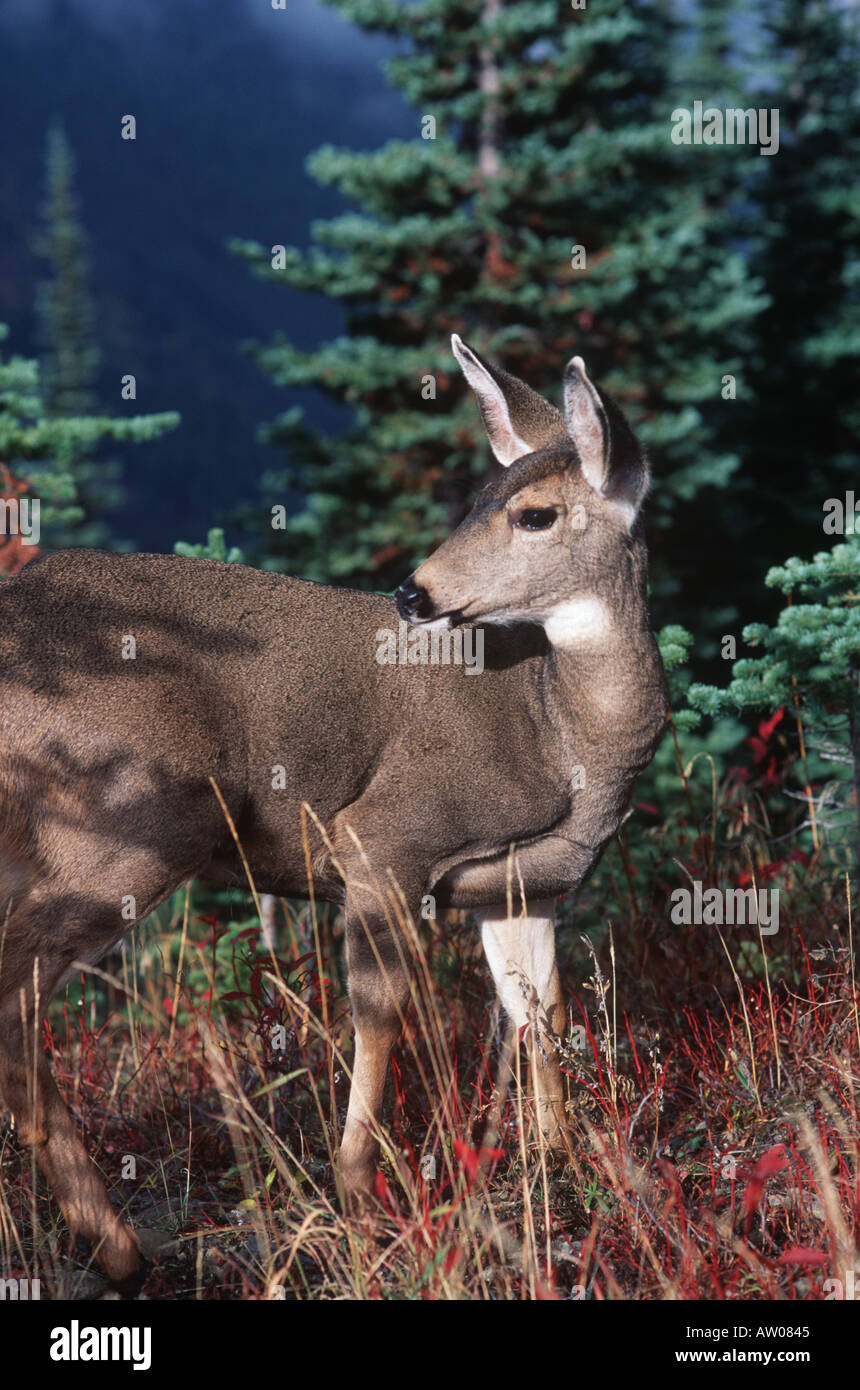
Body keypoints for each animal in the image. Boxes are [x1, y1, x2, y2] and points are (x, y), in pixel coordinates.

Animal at [0, 336, 668, 1292]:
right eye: (473, 499)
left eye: (533, 513)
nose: (414, 594)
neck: (564, 737)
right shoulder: (384, 835)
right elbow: (381, 1013)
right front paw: (357, 1190)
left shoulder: (527, 888)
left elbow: (540, 1018)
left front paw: (561, 1161)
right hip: (124, 824)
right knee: (15, 990)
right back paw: (114, 1241)